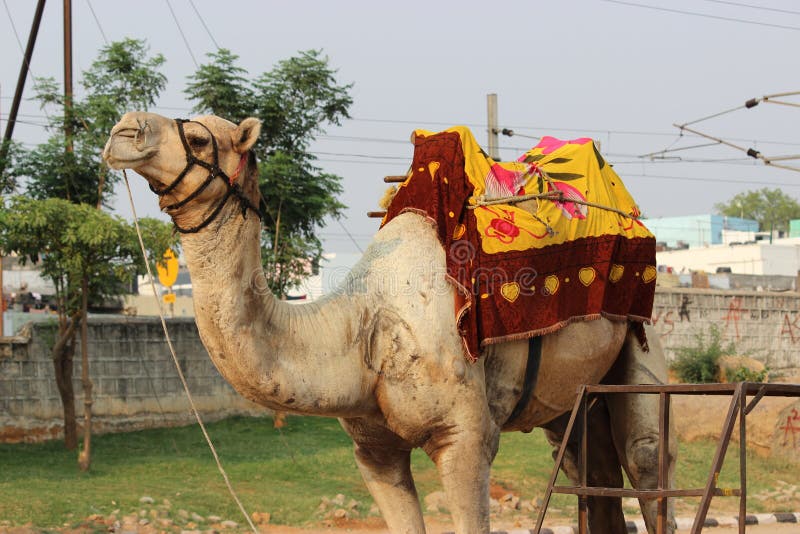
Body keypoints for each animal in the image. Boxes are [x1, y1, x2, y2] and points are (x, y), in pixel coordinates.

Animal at [104, 112, 676, 534]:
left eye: (200, 137)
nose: (122, 130)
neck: (358, 327)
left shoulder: (465, 437)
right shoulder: (373, 451)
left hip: (642, 330)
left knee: (647, 462)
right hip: (568, 399)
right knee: (585, 467)